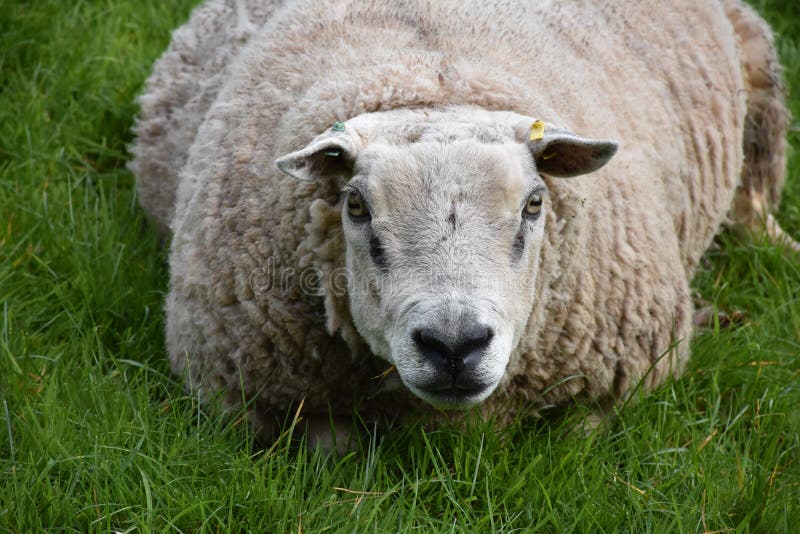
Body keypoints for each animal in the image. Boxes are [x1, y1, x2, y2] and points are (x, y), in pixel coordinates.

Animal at [130, 0, 797, 445]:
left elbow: (572, 439)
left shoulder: (621, 376)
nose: (454, 346)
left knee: (755, 204)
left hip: (759, 85)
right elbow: (332, 449)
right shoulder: (253, 398)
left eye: (534, 204)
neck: (435, 81)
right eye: (355, 207)